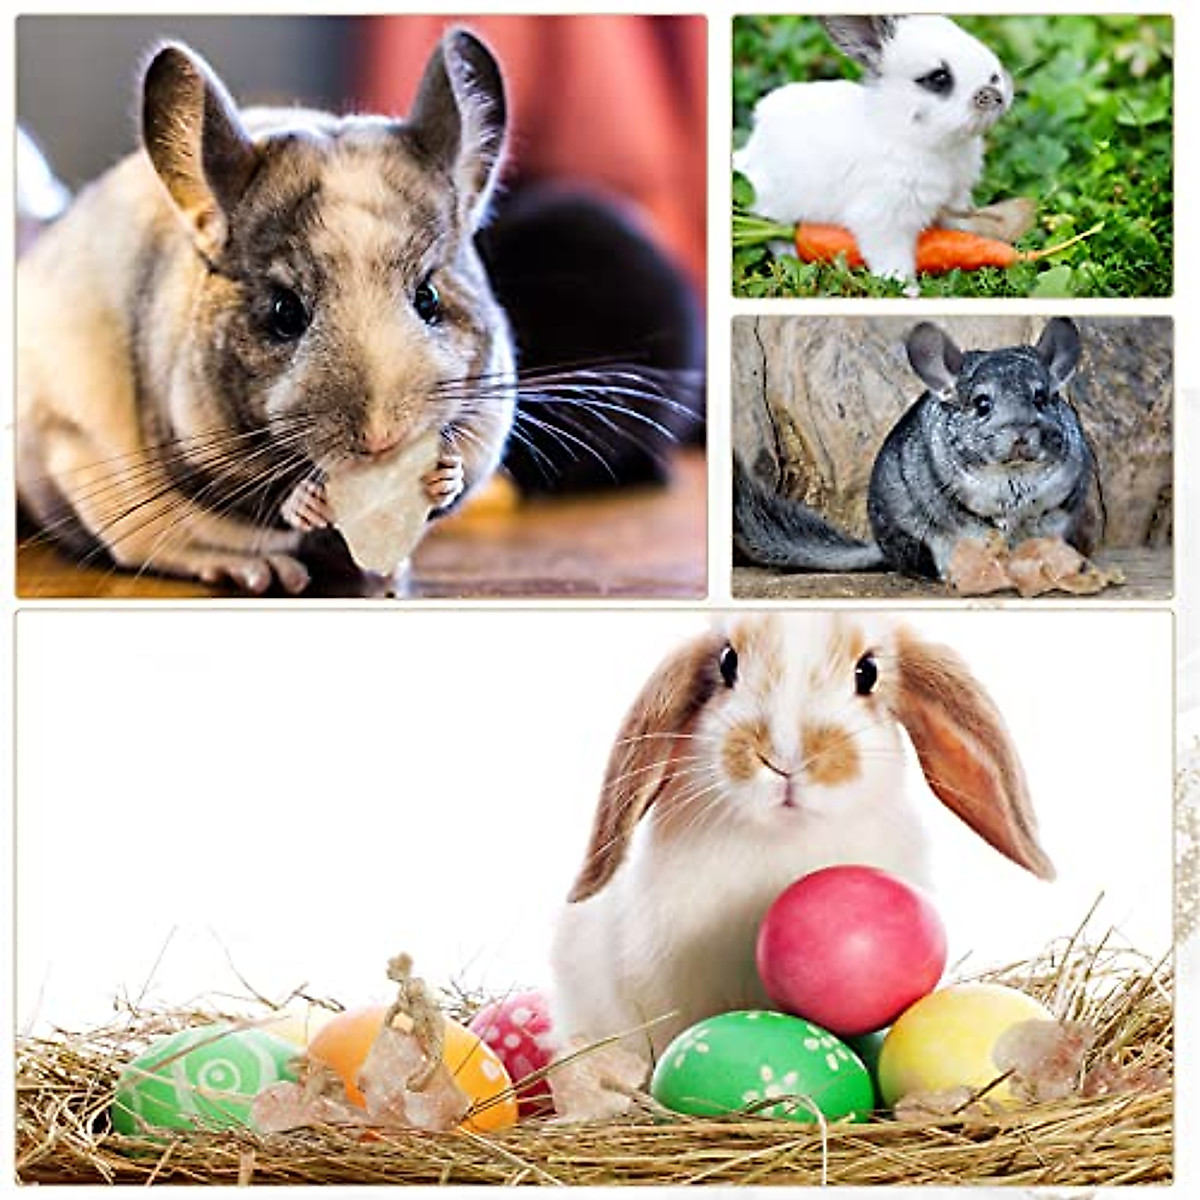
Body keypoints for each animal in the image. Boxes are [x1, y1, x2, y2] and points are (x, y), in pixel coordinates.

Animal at [16, 32, 515, 594]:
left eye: (428, 298)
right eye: (285, 312)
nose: (381, 438)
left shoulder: (489, 418)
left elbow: (464, 468)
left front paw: (445, 476)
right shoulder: (193, 448)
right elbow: (261, 494)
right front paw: (304, 503)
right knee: (146, 549)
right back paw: (262, 571)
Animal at [733, 15, 1012, 282]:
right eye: (939, 77)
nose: (993, 92)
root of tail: (749, 154)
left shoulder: (955, 199)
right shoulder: (882, 221)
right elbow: (893, 260)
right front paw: (907, 289)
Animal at [735, 318, 1102, 585]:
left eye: (1041, 398)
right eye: (982, 404)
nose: (1022, 434)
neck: (1013, 473)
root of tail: (879, 547)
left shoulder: (1063, 498)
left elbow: (1038, 525)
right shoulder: (951, 500)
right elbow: (977, 525)